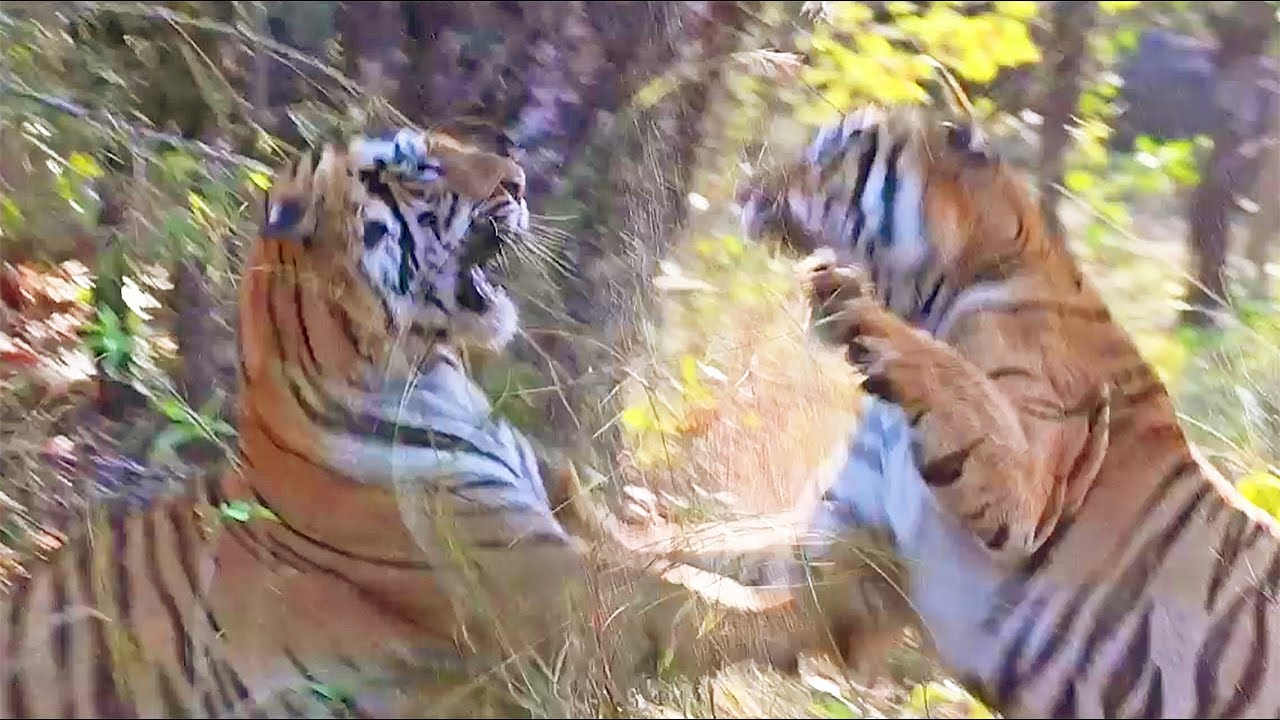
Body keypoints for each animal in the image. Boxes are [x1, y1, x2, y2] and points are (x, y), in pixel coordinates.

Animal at [0, 128, 809, 718]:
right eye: (416, 168)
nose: (518, 179)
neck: (443, 375)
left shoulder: (588, 526)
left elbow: (726, 543)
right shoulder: (544, 591)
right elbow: (688, 598)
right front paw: (821, 611)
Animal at [734, 104, 1280, 719]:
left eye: (830, 152)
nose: (743, 192)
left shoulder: (1027, 496)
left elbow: (956, 380)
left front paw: (853, 305)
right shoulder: (842, 530)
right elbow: (715, 566)